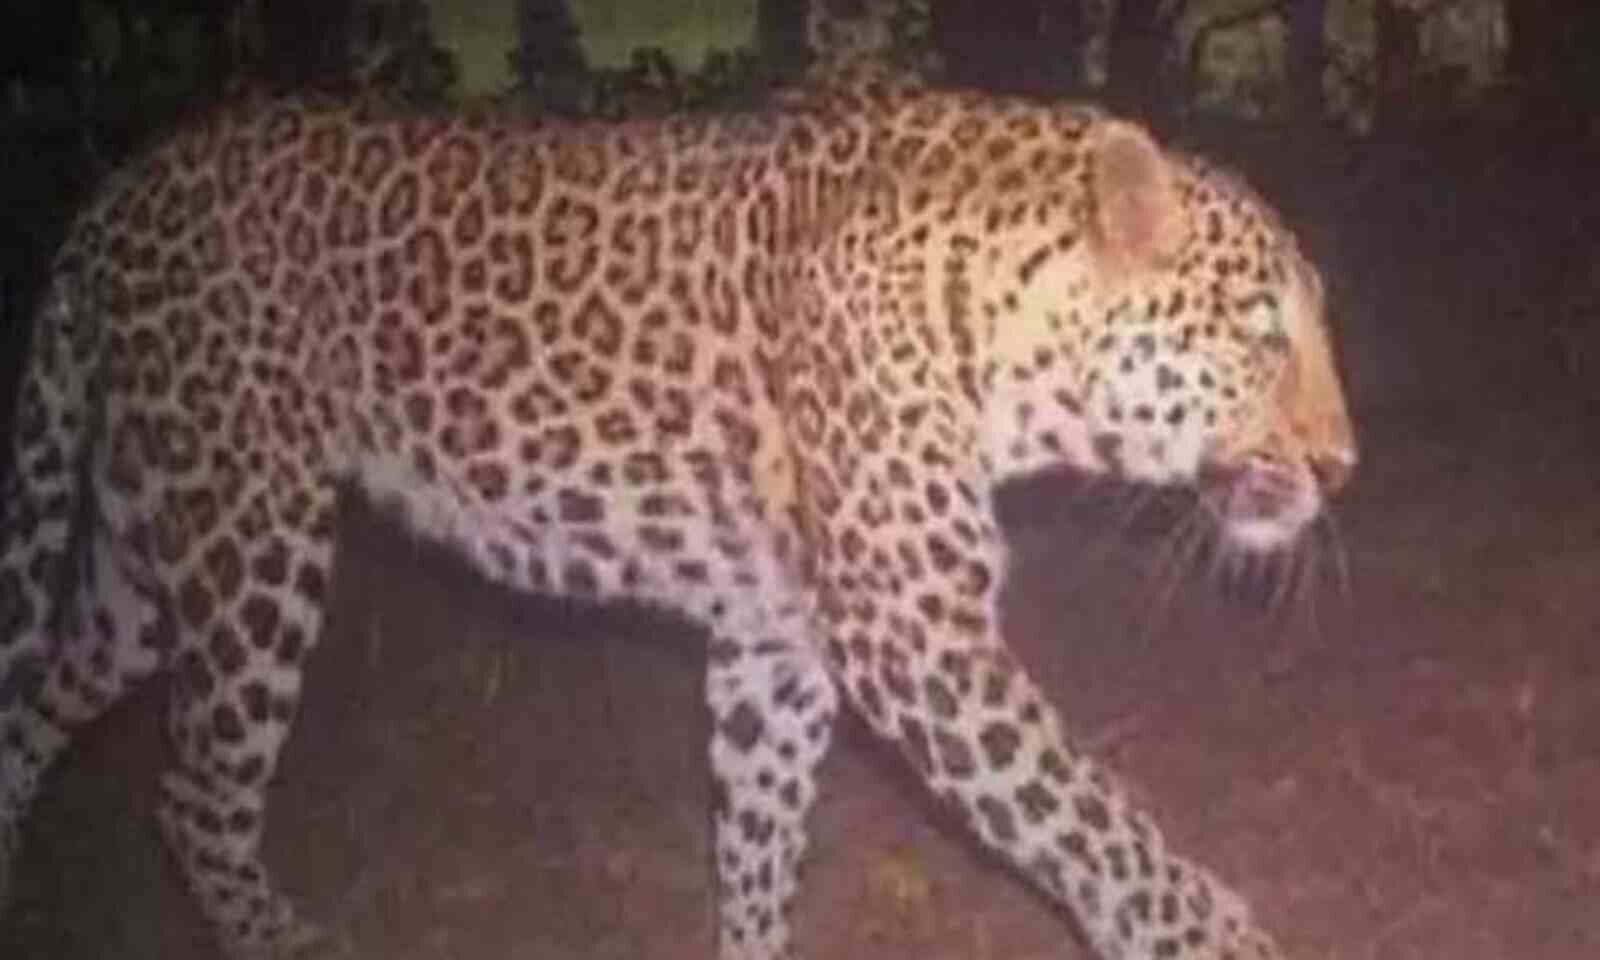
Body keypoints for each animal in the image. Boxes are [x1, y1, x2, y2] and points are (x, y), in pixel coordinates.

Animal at [0, 73, 1355, 960]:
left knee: (35, 699)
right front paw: (1209, 935)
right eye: (1261, 334)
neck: (1006, 328)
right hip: (251, 531)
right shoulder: (914, 636)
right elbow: (1091, 820)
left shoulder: (775, 644)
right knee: (195, 800)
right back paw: (285, 936)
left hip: (147, 546)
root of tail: (111, 198)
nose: (1341, 466)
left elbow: (756, 846)